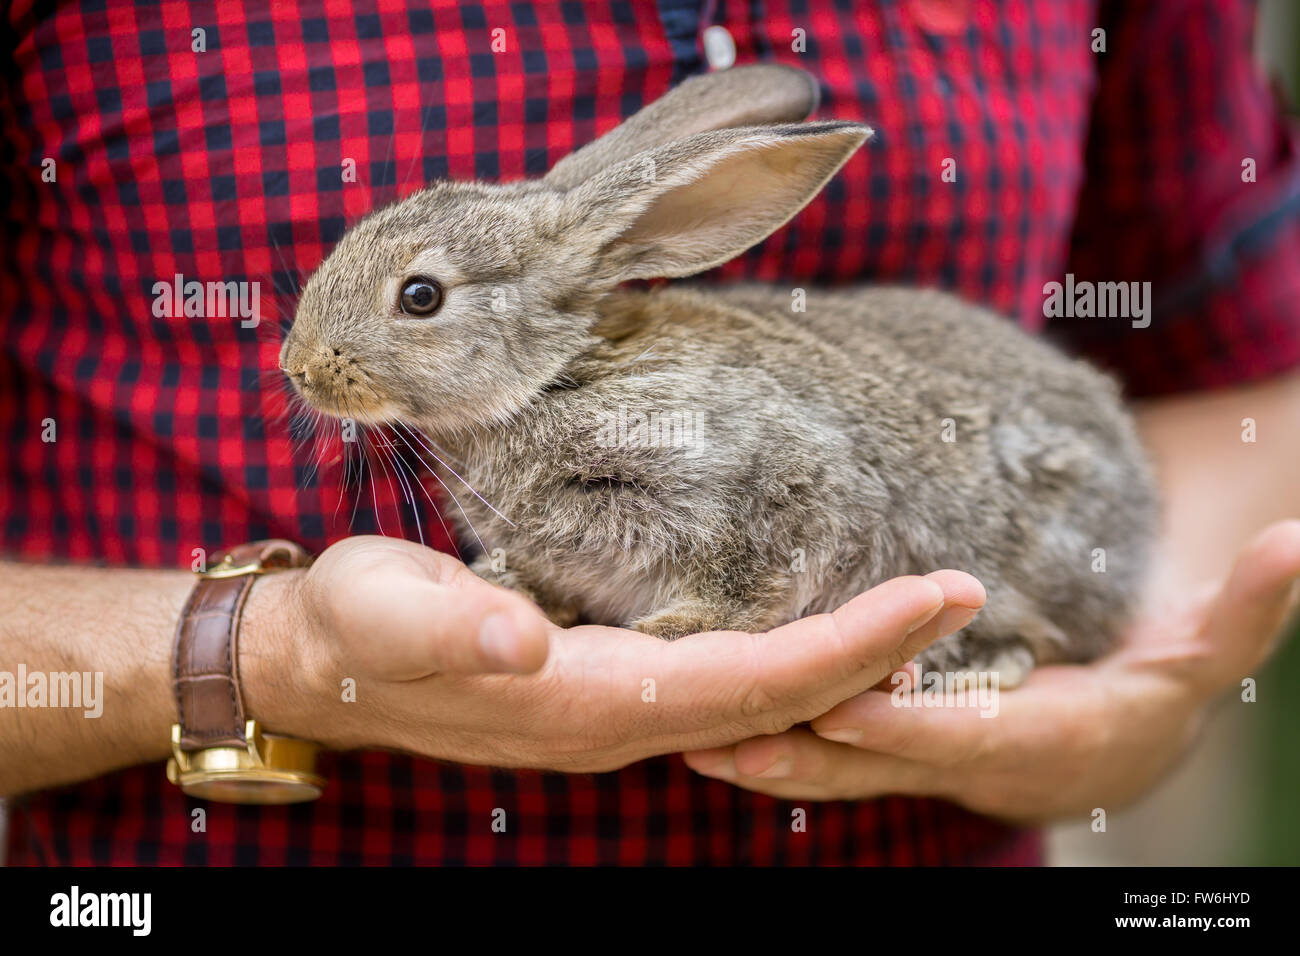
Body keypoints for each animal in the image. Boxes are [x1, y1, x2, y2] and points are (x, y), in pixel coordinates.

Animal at [280, 64, 1158, 686]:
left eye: (420, 296)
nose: (297, 368)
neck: (553, 377)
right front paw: (520, 589)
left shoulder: (779, 487)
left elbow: (753, 578)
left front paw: (675, 628)